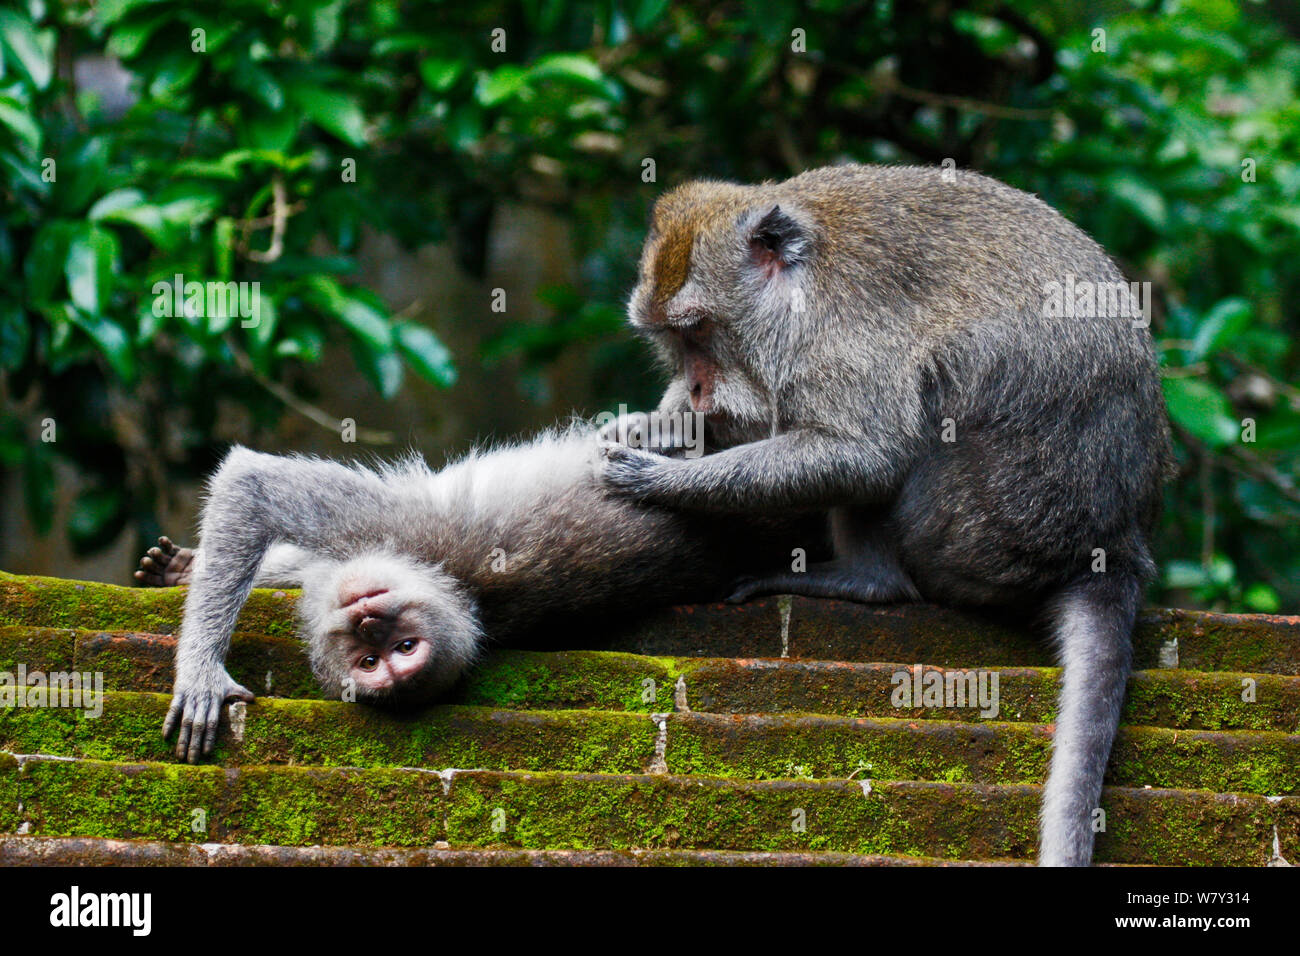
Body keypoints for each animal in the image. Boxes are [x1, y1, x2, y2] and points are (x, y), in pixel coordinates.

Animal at [140, 425, 821, 764]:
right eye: (369, 660)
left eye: (400, 650)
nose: (368, 621)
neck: (464, 591)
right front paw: (186, 575)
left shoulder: (422, 533)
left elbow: (252, 483)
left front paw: (199, 673)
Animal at [598, 163, 1173, 867]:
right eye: (672, 342)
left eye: (698, 330)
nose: (697, 388)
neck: (797, 284)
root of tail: (1113, 543)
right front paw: (652, 424)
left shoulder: (834, 334)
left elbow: (865, 456)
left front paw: (665, 479)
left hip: (977, 527)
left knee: (926, 413)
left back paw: (865, 579)